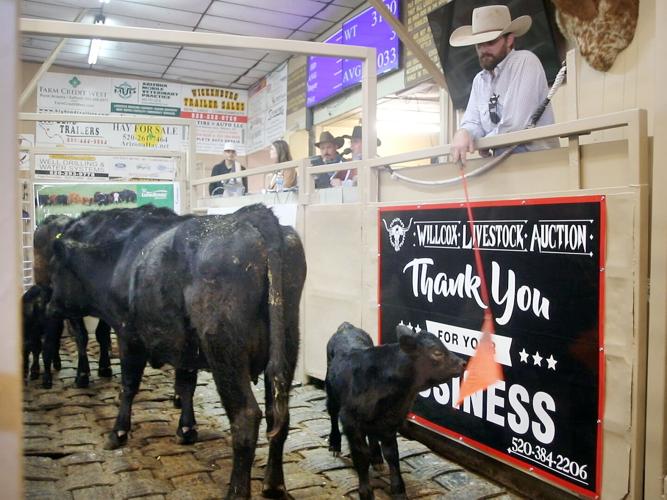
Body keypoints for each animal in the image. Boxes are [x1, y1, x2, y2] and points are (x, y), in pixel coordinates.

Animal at [46, 204, 306, 499]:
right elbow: (186, 385)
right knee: (279, 415)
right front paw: (186, 430)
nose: (50, 307)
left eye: (54, 269)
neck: (119, 254)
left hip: (224, 351)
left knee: (246, 417)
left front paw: (118, 433)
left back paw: (237, 492)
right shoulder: (186, 347)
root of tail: (255, 214)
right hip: (288, 345)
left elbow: (128, 385)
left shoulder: (128, 334)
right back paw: (273, 485)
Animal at [325, 322, 465, 500]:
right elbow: (360, 455)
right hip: (331, 392)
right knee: (332, 414)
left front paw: (399, 491)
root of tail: (346, 327)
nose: (463, 363)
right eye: (437, 352)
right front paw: (365, 492)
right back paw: (335, 444)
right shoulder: (351, 421)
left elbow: (392, 455)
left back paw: (376, 457)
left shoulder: (391, 423)